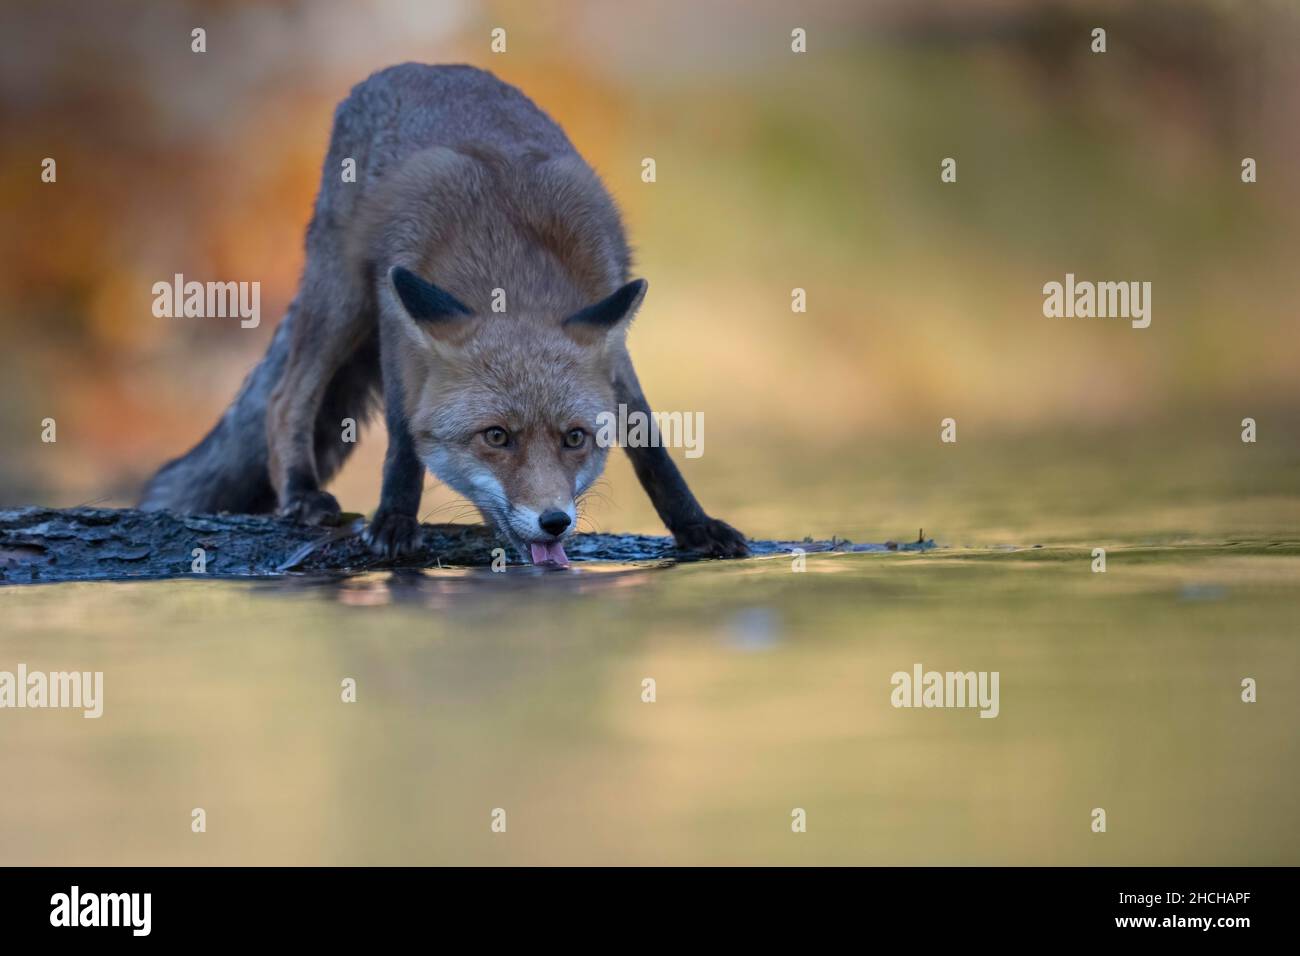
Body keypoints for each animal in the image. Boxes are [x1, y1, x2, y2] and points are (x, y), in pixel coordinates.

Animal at [139, 63, 748, 566]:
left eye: (575, 438)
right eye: (496, 437)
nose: (554, 522)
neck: (511, 267)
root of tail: (417, 68)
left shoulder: (611, 343)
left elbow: (649, 442)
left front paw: (695, 525)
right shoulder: (395, 318)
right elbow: (403, 438)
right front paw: (394, 519)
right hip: (342, 296)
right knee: (284, 399)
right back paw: (301, 492)